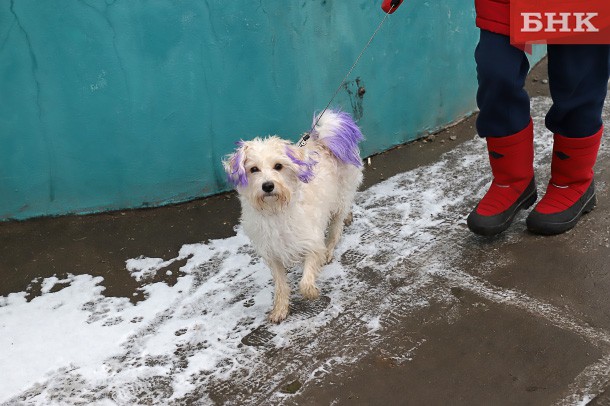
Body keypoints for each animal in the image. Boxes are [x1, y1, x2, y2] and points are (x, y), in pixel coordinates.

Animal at [226, 109, 364, 322]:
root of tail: (323, 139)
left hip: (341, 198)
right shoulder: (272, 253)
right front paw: (280, 309)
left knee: (336, 227)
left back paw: (330, 248)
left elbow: (305, 283)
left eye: (278, 166)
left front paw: (312, 291)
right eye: (253, 169)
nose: (268, 186)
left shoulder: (312, 242)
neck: (276, 211)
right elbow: (281, 285)